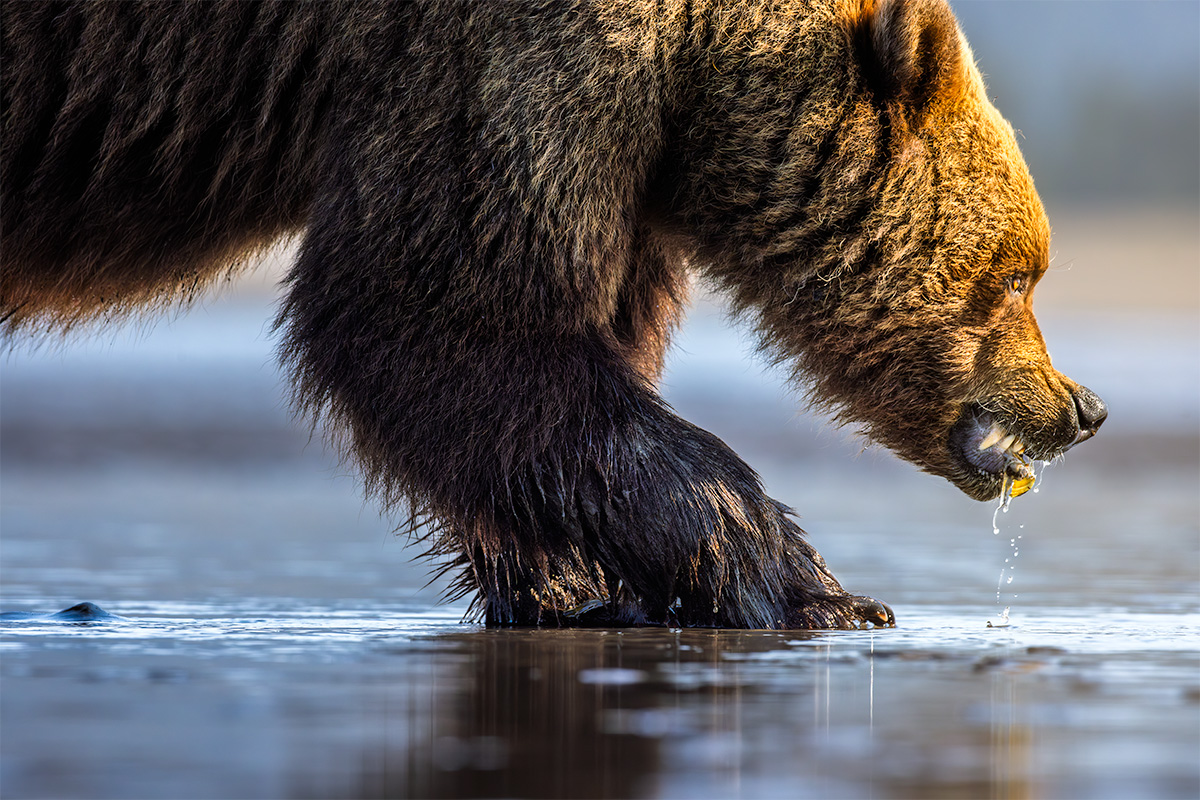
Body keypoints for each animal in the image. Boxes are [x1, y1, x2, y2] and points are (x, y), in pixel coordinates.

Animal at [1, 0, 1106, 629]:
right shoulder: (495, 68)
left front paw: (573, 589)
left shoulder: (622, 164)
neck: (695, 75)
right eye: (1020, 274)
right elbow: (445, 317)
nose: (1082, 405)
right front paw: (815, 590)